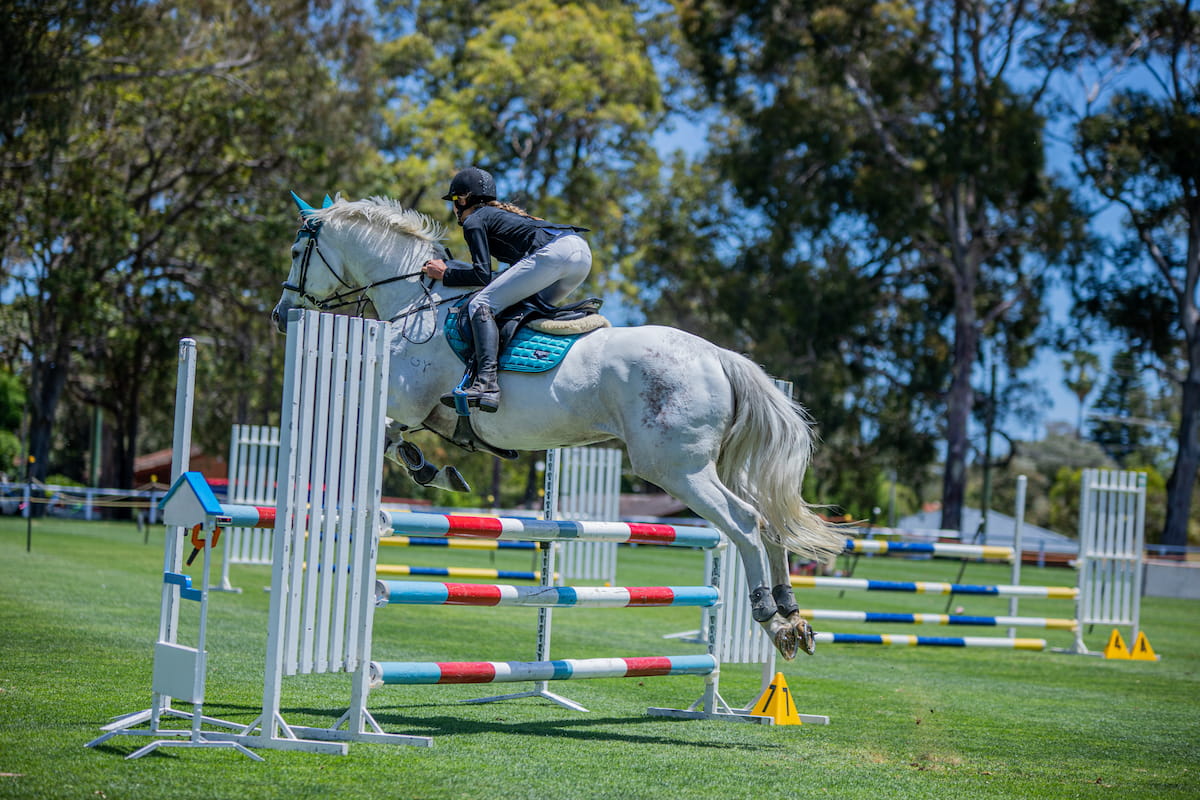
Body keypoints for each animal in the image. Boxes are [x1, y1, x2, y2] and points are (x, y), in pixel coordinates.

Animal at [271, 194, 844, 660]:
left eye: (298, 251)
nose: (281, 314)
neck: (417, 305)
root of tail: (719, 357)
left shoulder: (406, 404)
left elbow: (386, 433)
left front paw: (432, 470)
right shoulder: (418, 413)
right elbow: (393, 440)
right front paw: (432, 468)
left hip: (677, 469)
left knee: (746, 522)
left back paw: (771, 619)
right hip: (712, 467)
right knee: (770, 522)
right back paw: (794, 618)